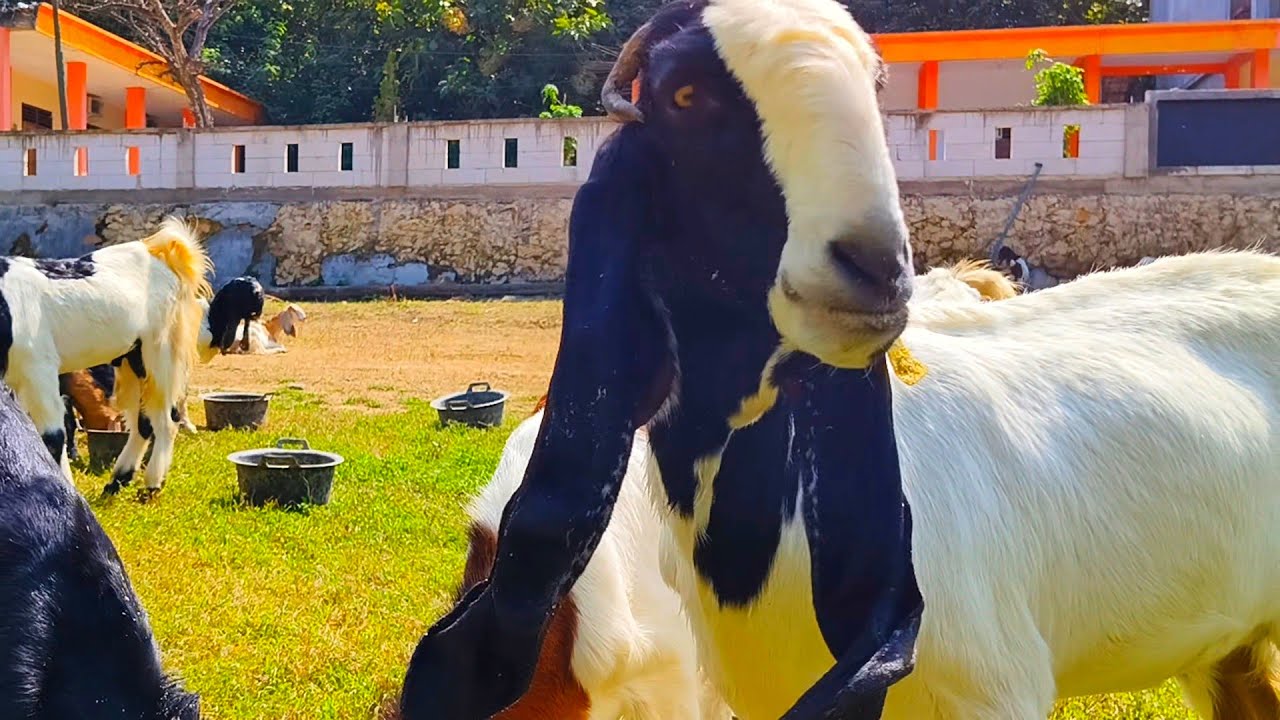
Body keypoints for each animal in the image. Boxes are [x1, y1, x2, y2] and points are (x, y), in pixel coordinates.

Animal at [0, 216, 210, 496]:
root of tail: (158, 250)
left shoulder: (39, 369)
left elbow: (53, 436)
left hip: (160, 353)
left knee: (165, 420)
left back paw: (151, 485)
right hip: (132, 360)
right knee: (144, 422)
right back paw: (118, 480)